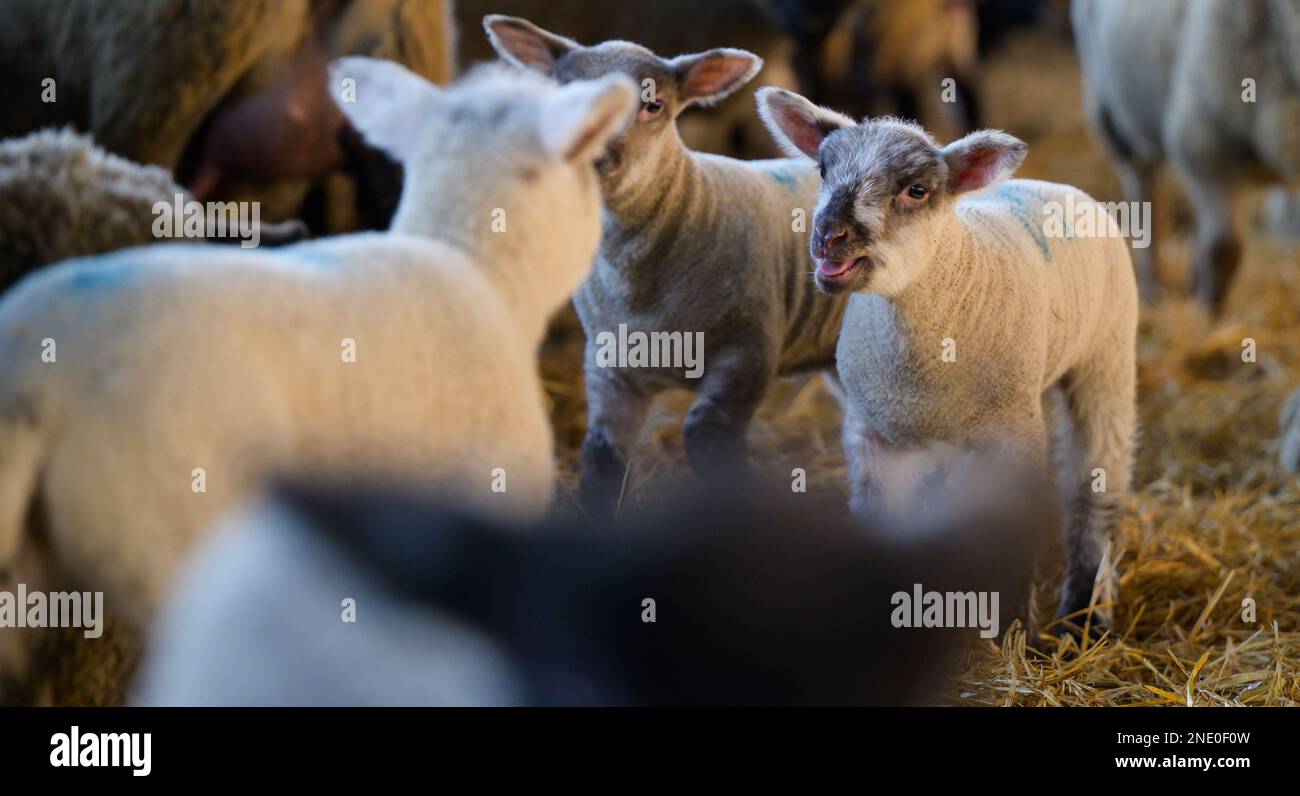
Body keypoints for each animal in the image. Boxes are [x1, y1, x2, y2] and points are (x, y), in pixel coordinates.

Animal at [484, 16, 850, 519]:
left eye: (652, 105)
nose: (592, 155)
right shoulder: (609, 366)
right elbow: (600, 456)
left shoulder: (748, 351)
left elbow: (706, 440)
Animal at [757, 88, 1138, 623]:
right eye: (823, 170)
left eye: (916, 190)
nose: (829, 235)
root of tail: (1052, 181)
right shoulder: (872, 435)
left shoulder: (1011, 438)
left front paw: (1011, 627)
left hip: (1107, 354)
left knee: (1097, 474)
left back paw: (1085, 608)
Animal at [1072, 0, 1300, 308]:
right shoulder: (1202, 146)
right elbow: (1224, 247)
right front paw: (1207, 312)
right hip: (1114, 117)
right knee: (1147, 201)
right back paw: (1152, 285)